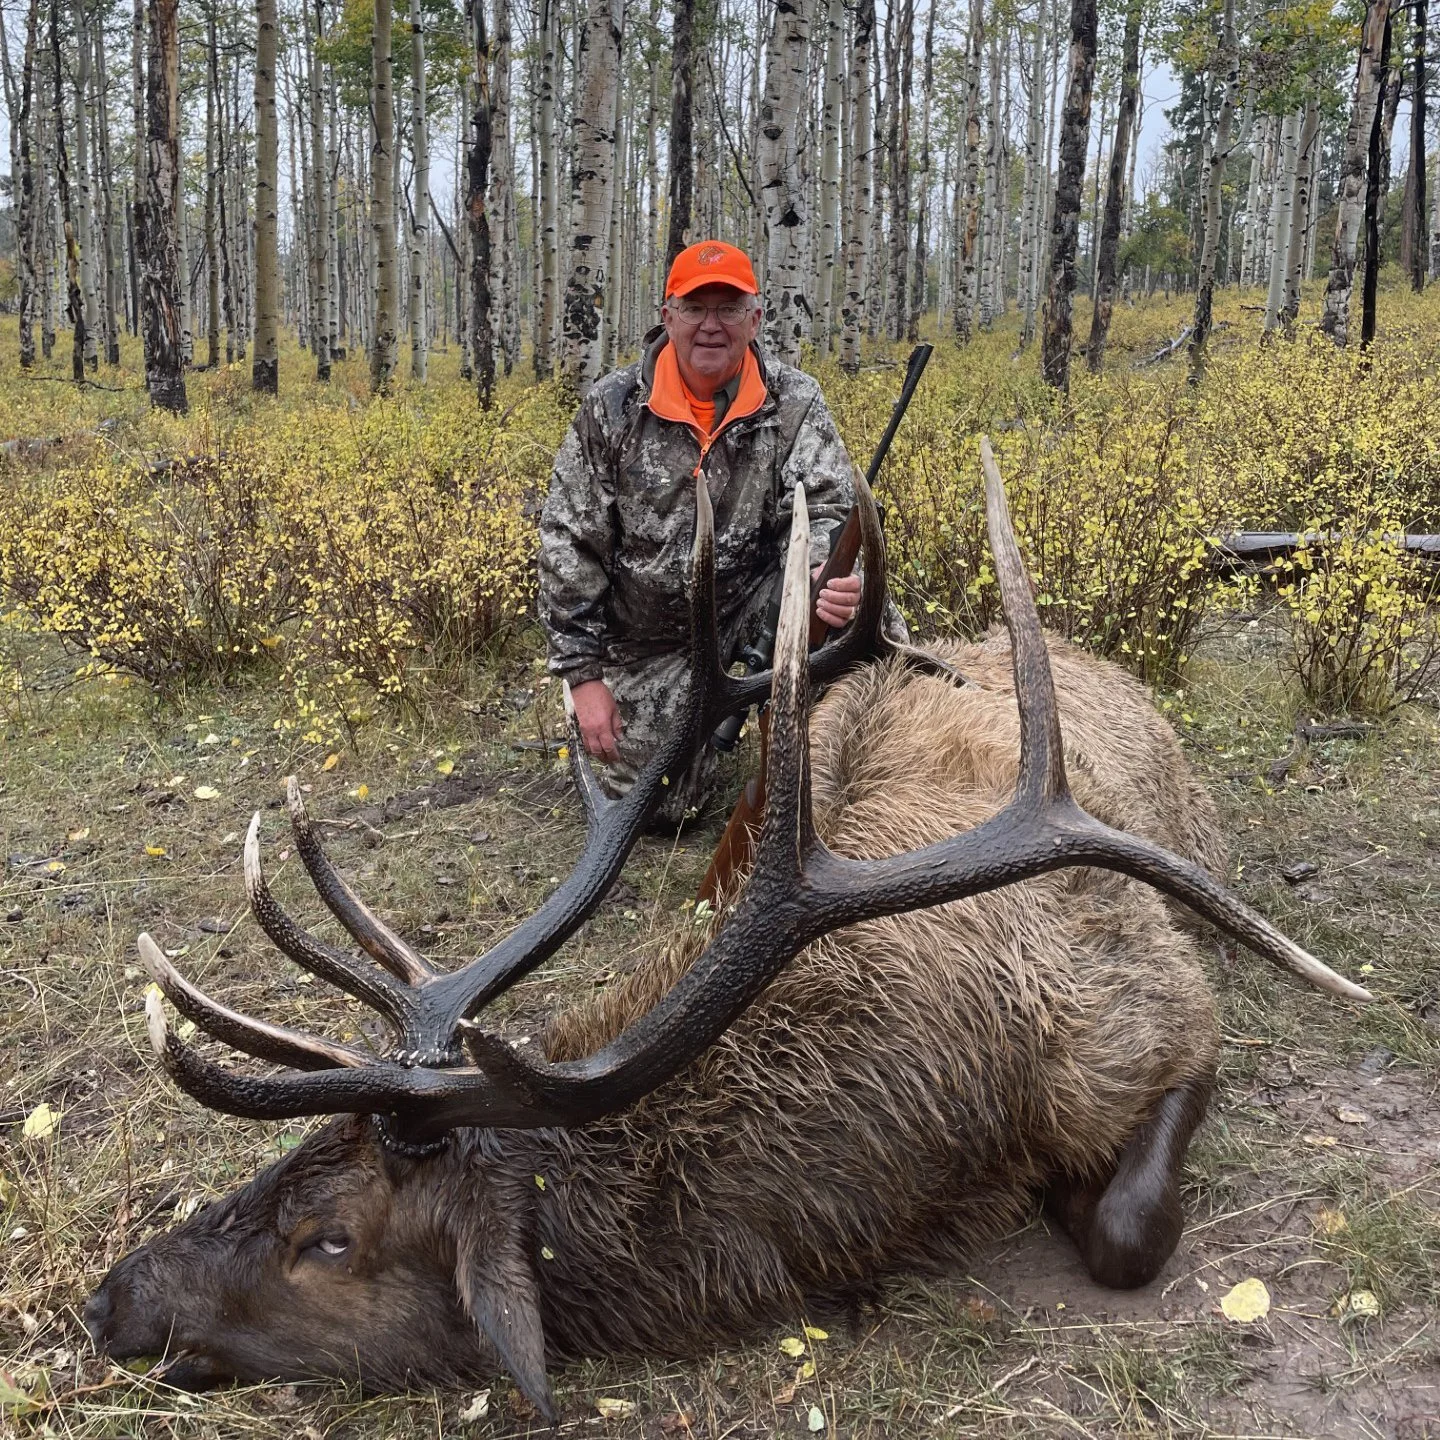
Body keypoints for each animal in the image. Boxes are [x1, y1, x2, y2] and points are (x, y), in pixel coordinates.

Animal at [84, 441, 1369, 1418]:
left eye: (331, 1241)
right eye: (293, 1157)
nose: (111, 1298)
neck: (971, 1098)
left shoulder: (1168, 1018)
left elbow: (1129, 1229)